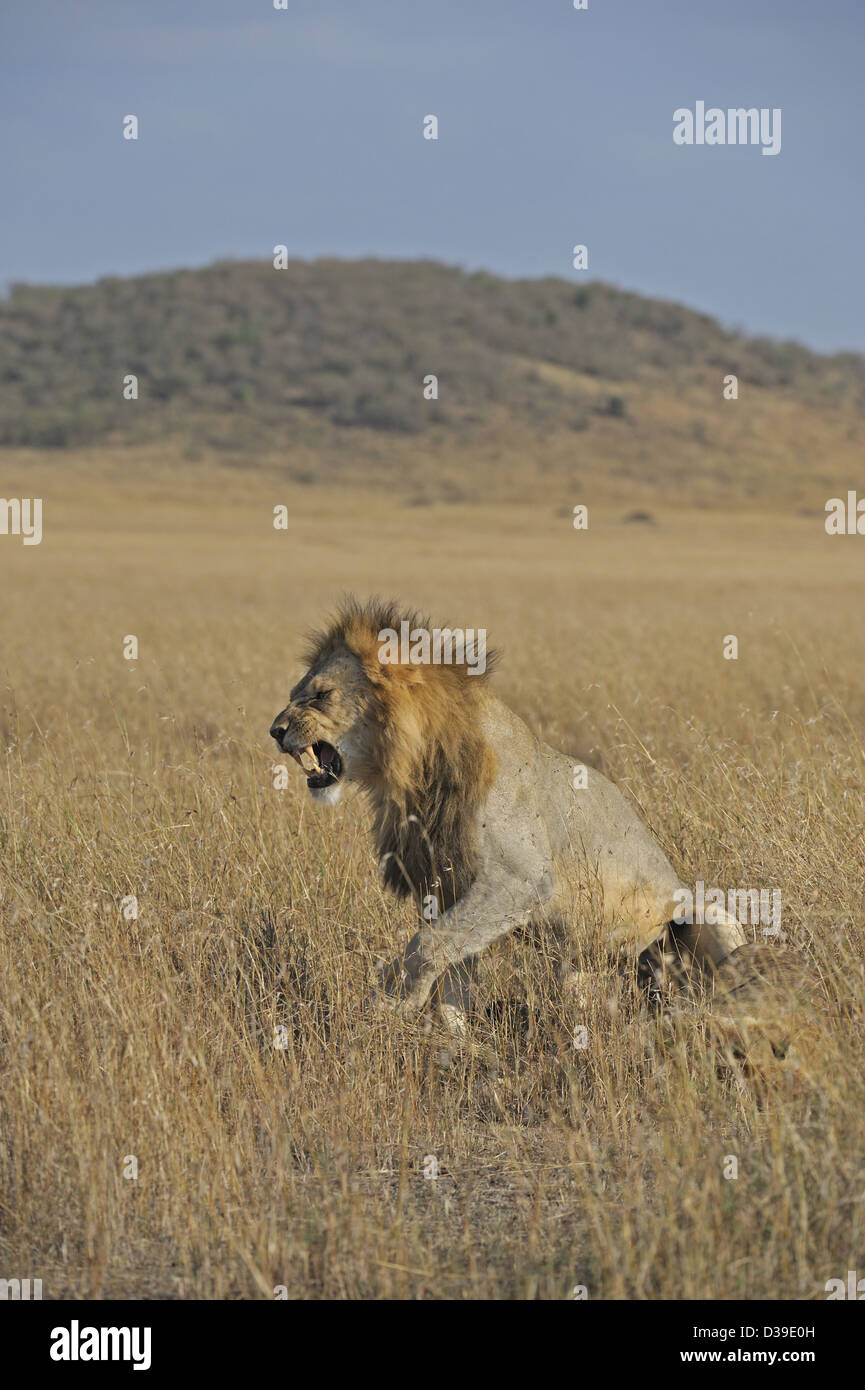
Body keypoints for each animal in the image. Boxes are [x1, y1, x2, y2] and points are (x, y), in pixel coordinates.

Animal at [269, 597, 789, 1041]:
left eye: (320, 696)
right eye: (296, 693)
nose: (274, 731)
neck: (415, 771)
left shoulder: (519, 878)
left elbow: (426, 947)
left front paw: (390, 1002)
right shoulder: (447, 885)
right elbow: (452, 964)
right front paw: (457, 1043)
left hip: (702, 911)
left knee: (725, 985)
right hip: (584, 966)